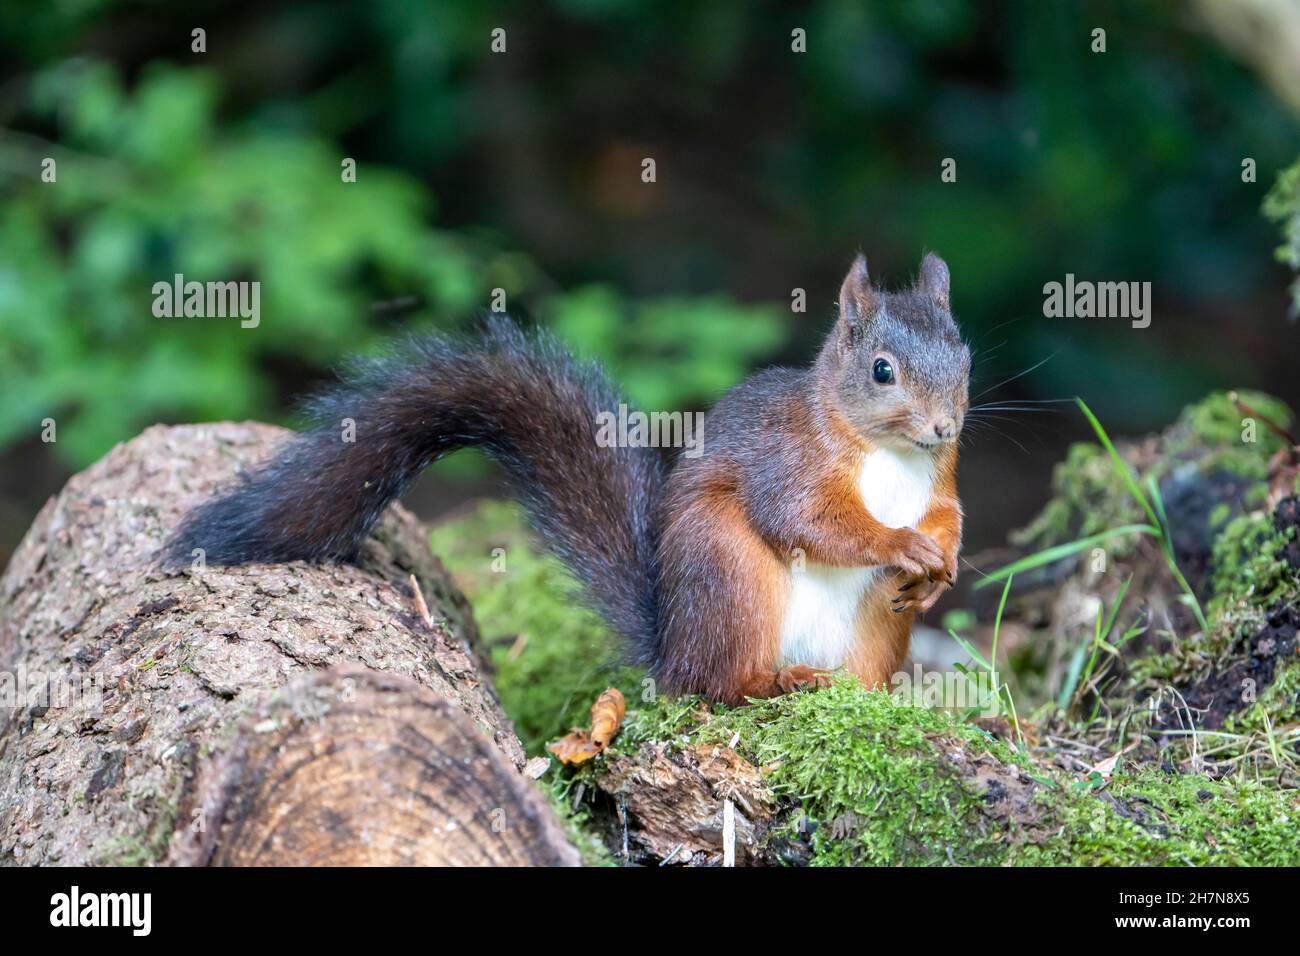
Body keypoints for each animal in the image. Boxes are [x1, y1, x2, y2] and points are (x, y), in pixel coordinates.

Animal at [166, 252, 970, 706]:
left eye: (964, 357)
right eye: (882, 371)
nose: (945, 427)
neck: (889, 452)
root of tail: (669, 649)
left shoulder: (942, 482)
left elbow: (951, 516)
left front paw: (943, 565)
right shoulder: (788, 462)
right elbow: (811, 520)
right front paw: (901, 544)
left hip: (875, 629)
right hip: (730, 573)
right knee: (713, 689)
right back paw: (773, 680)